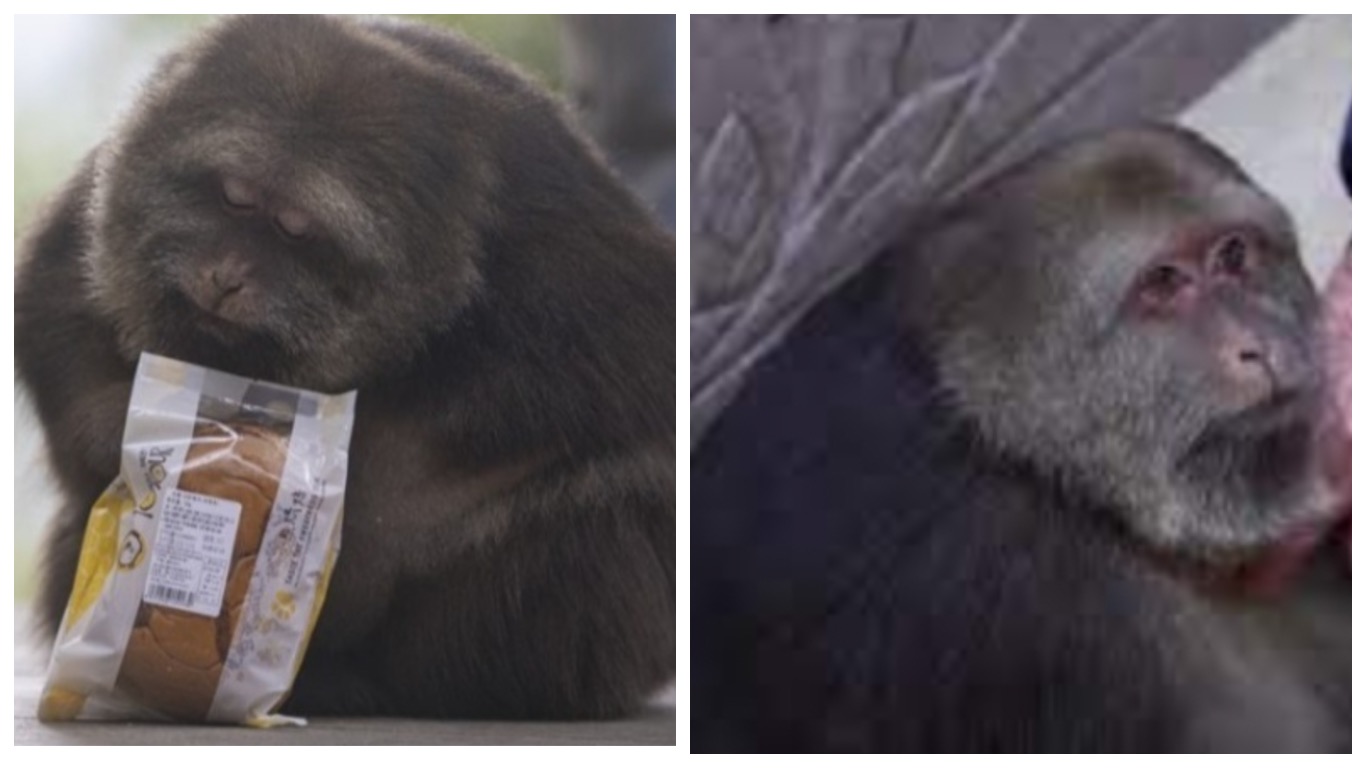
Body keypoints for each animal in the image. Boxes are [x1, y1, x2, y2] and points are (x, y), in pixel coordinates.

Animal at [16, 15, 674, 719]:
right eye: (234, 198)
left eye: (295, 230)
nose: (225, 277)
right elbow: (56, 302)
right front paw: (125, 431)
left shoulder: (551, 230)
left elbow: (628, 383)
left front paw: (355, 530)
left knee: (598, 510)